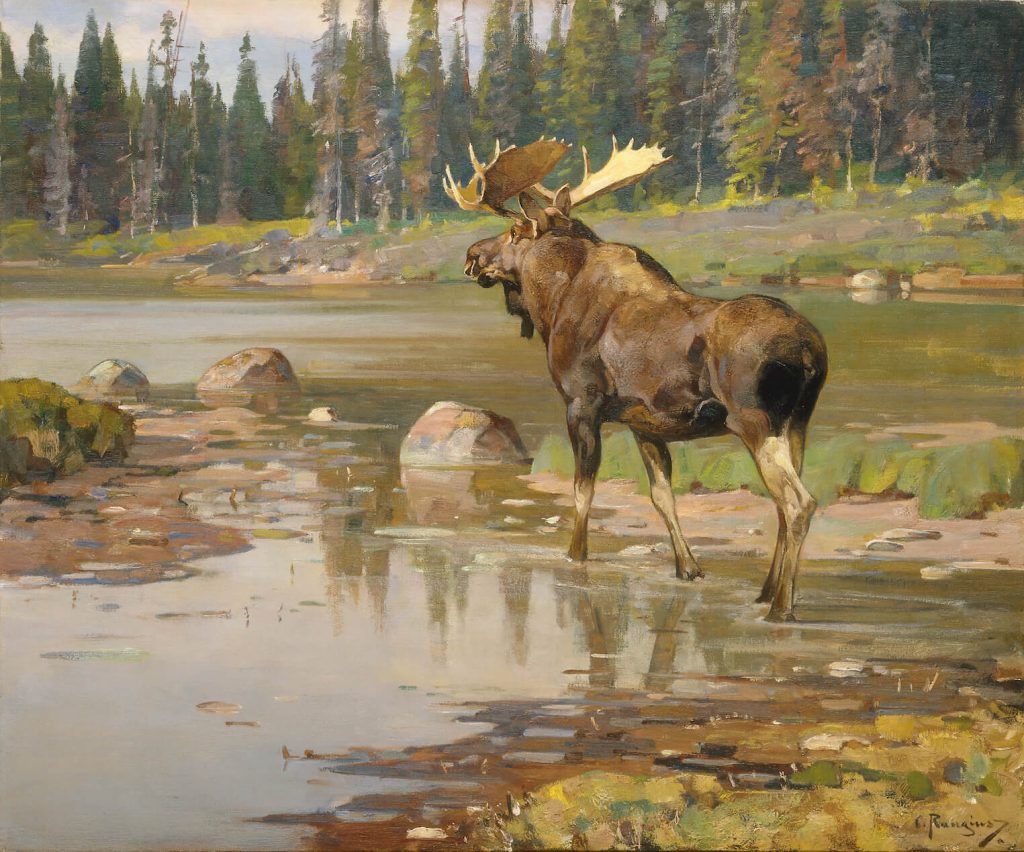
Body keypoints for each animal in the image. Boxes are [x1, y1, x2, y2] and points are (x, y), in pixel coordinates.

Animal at [443, 138, 828, 622]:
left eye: (513, 233)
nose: (471, 256)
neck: (551, 303)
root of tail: (811, 351)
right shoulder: (644, 423)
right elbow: (662, 497)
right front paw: (688, 568)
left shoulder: (582, 404)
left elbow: (583, 491)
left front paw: (576, 556)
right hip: (799, 421)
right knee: (782, 503)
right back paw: (765, 591)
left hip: (755, 421)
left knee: (798, 503)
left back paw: (780, 606)